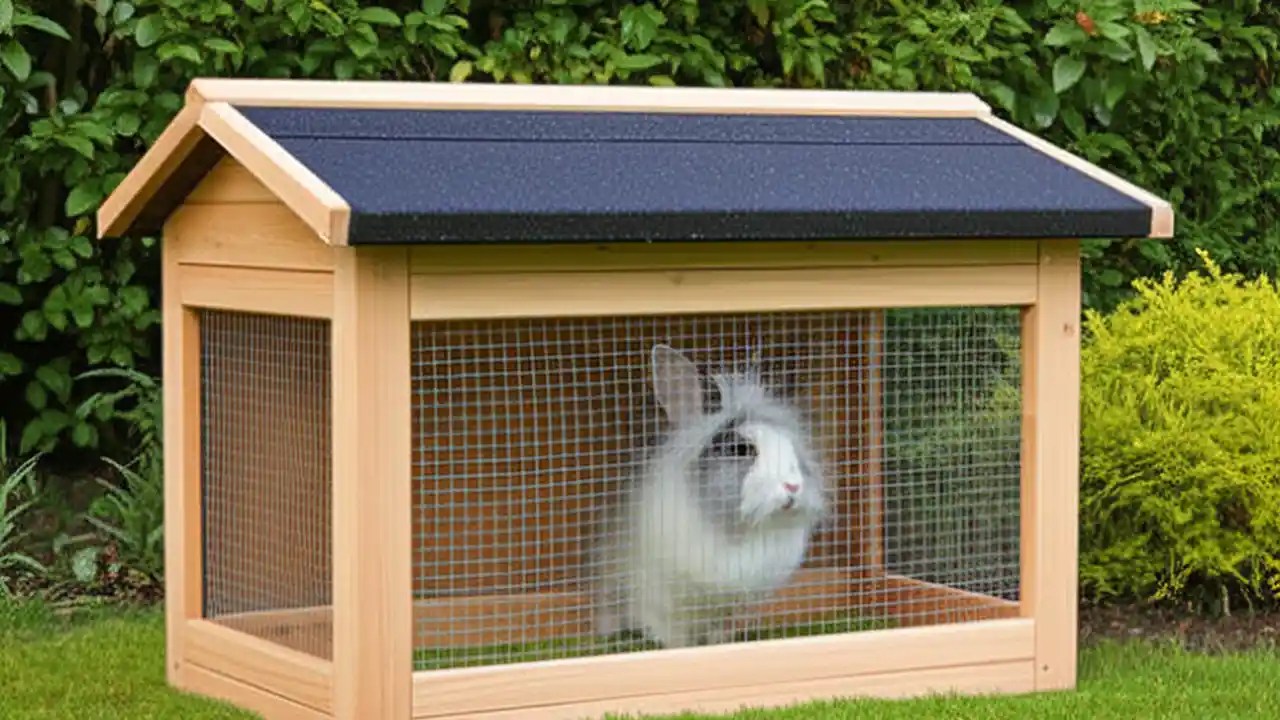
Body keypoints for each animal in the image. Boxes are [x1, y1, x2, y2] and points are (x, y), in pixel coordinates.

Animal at [591, 343, 828, 649]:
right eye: (741, 449)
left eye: (789, 445)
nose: (793, 486)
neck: (738, 532)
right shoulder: (656, 596)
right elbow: (671, 633)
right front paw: (679, 649)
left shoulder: (729, 605)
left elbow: (719, 630)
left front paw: (719, 645)